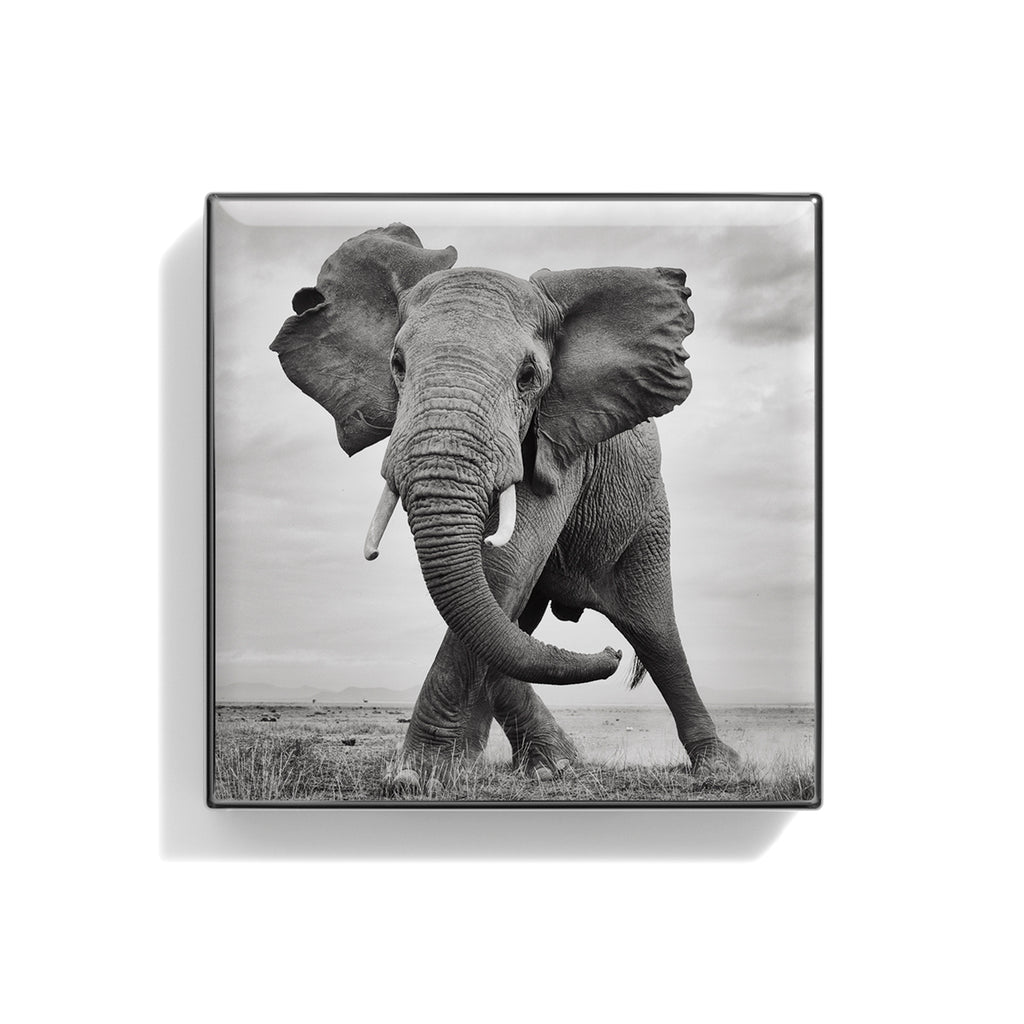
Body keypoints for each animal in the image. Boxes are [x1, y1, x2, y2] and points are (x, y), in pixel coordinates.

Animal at [270, 222, 738, 789]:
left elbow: (503, 566)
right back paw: (544, 763)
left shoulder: (558, 440)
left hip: (647, 515)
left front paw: (420, 776)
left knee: (654, 632)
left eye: (528, 376)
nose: (608, 655)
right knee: (521, 626)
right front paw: (452, 770)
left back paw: (720, 768)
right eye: (397, 365)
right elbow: (496, 600)